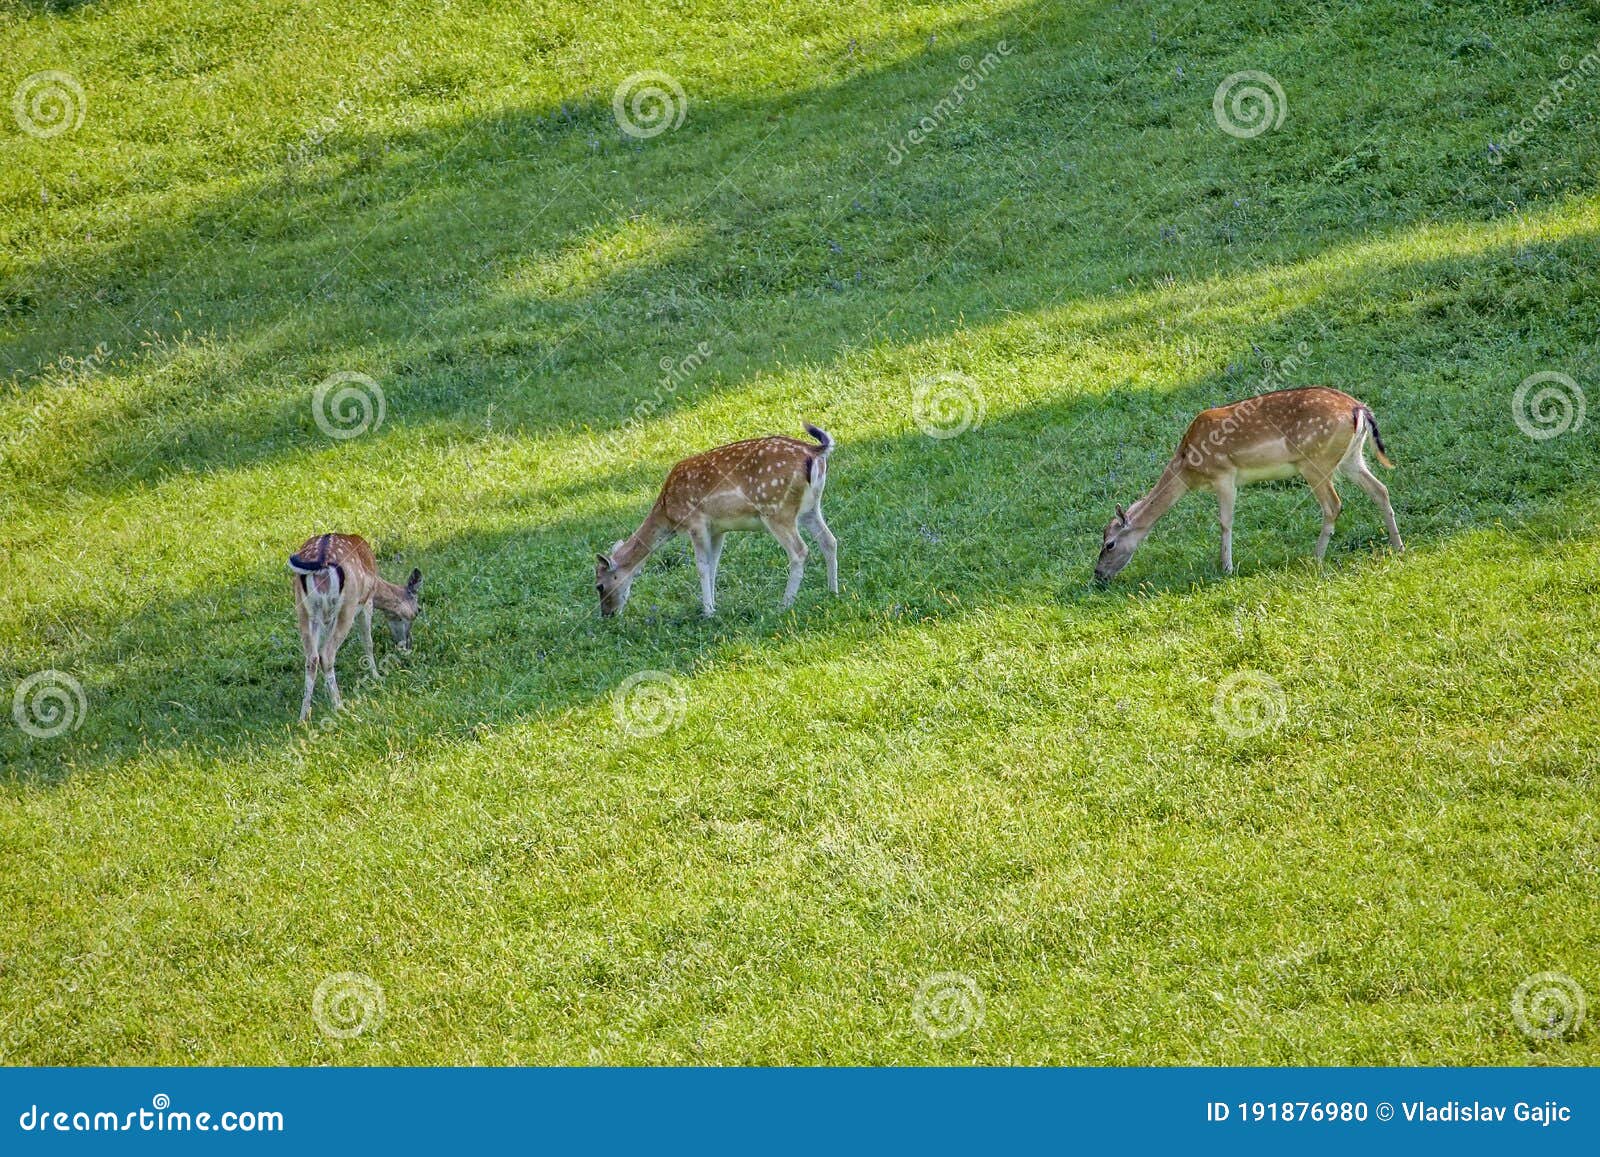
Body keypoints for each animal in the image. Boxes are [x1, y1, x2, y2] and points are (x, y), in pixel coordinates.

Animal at [289, 533, 422, 721]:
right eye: (418, 611)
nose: (407, 644)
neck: (376, 583)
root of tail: (321, 564)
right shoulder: (367, 602)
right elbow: (368, 642)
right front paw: (376, 676)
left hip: (303, 609)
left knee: (312, 658)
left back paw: (303, 718)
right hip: (348, 605)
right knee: (326, 654)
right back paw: (339, 708)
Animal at [596, 424, 838, 617]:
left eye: (599, 586)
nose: (607, 614)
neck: (668, 512)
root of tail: (815, 452)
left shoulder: (696, 522)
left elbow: (702, 566)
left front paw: (708, 611)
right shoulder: (718, 529)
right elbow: (714, 564)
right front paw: (714, 606)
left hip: (776, 509)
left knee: (799, 551)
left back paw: (784, 605)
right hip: (810, 509)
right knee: (829, 540)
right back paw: (832, 592)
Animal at [1095, 386, 1403, 583]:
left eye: (1109, 544)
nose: (1098, 575)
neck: (1188, 466)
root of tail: (1359, 409)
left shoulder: (1224, 474)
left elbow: (1225, 522)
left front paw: (1227, 567)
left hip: (1315, 460)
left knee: (1333, 505)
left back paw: (1314, 559)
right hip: (1351, 458)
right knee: (1380, 489)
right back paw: (1398, 546)